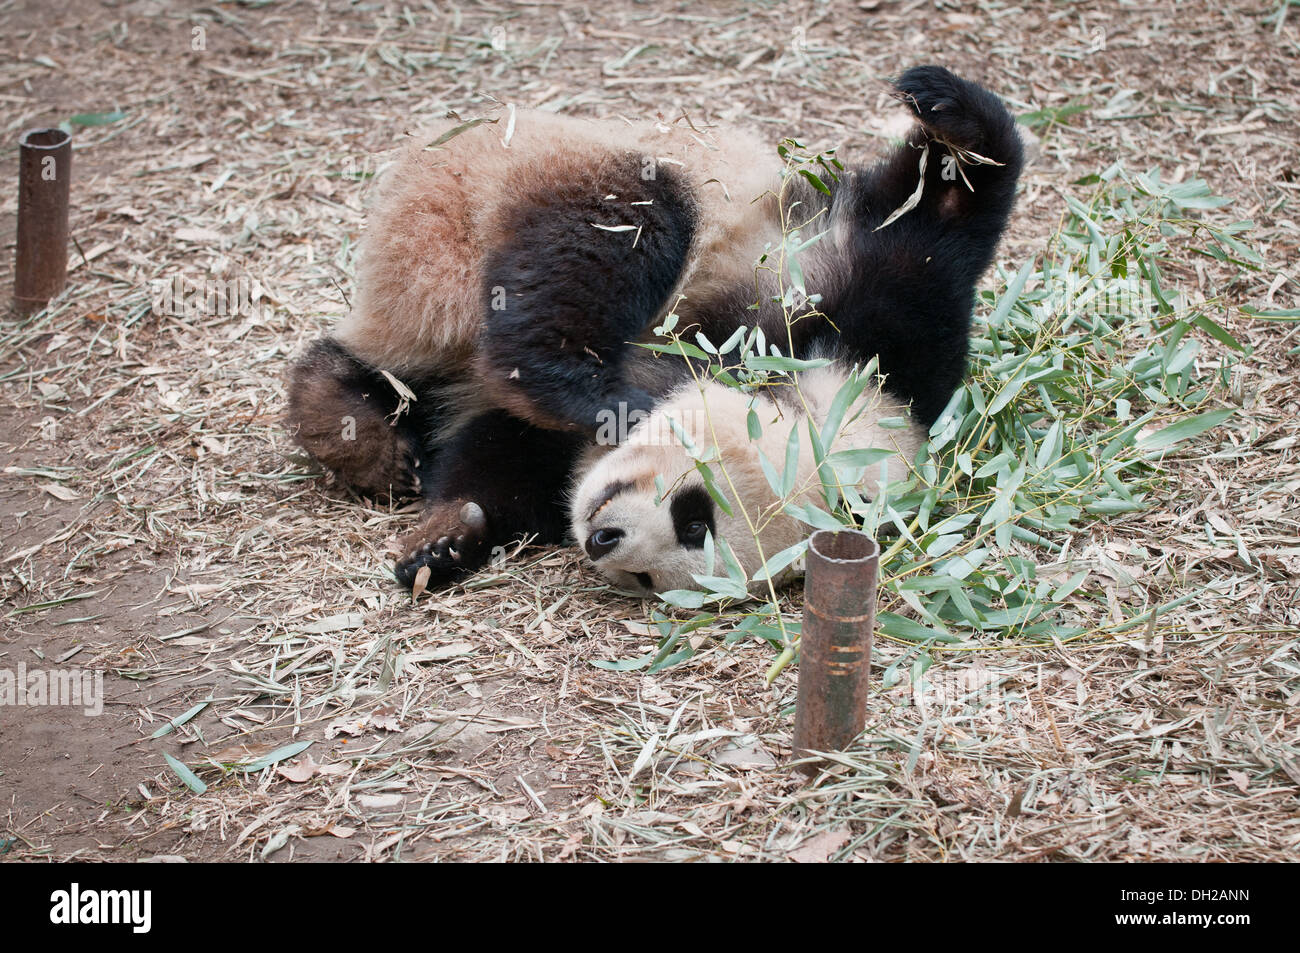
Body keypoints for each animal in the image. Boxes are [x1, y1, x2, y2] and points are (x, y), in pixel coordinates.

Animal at [286, 65, 1025, 597]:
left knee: (395, 365)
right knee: (620, 234)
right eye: (694, 514)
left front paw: (451, 537)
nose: (603, 541)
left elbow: (498, 457)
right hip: (516, 177)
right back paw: (563, 384)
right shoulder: (858, 312)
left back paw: (350, 424)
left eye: (658, 571)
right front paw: (953, 116)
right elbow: (936, 220)